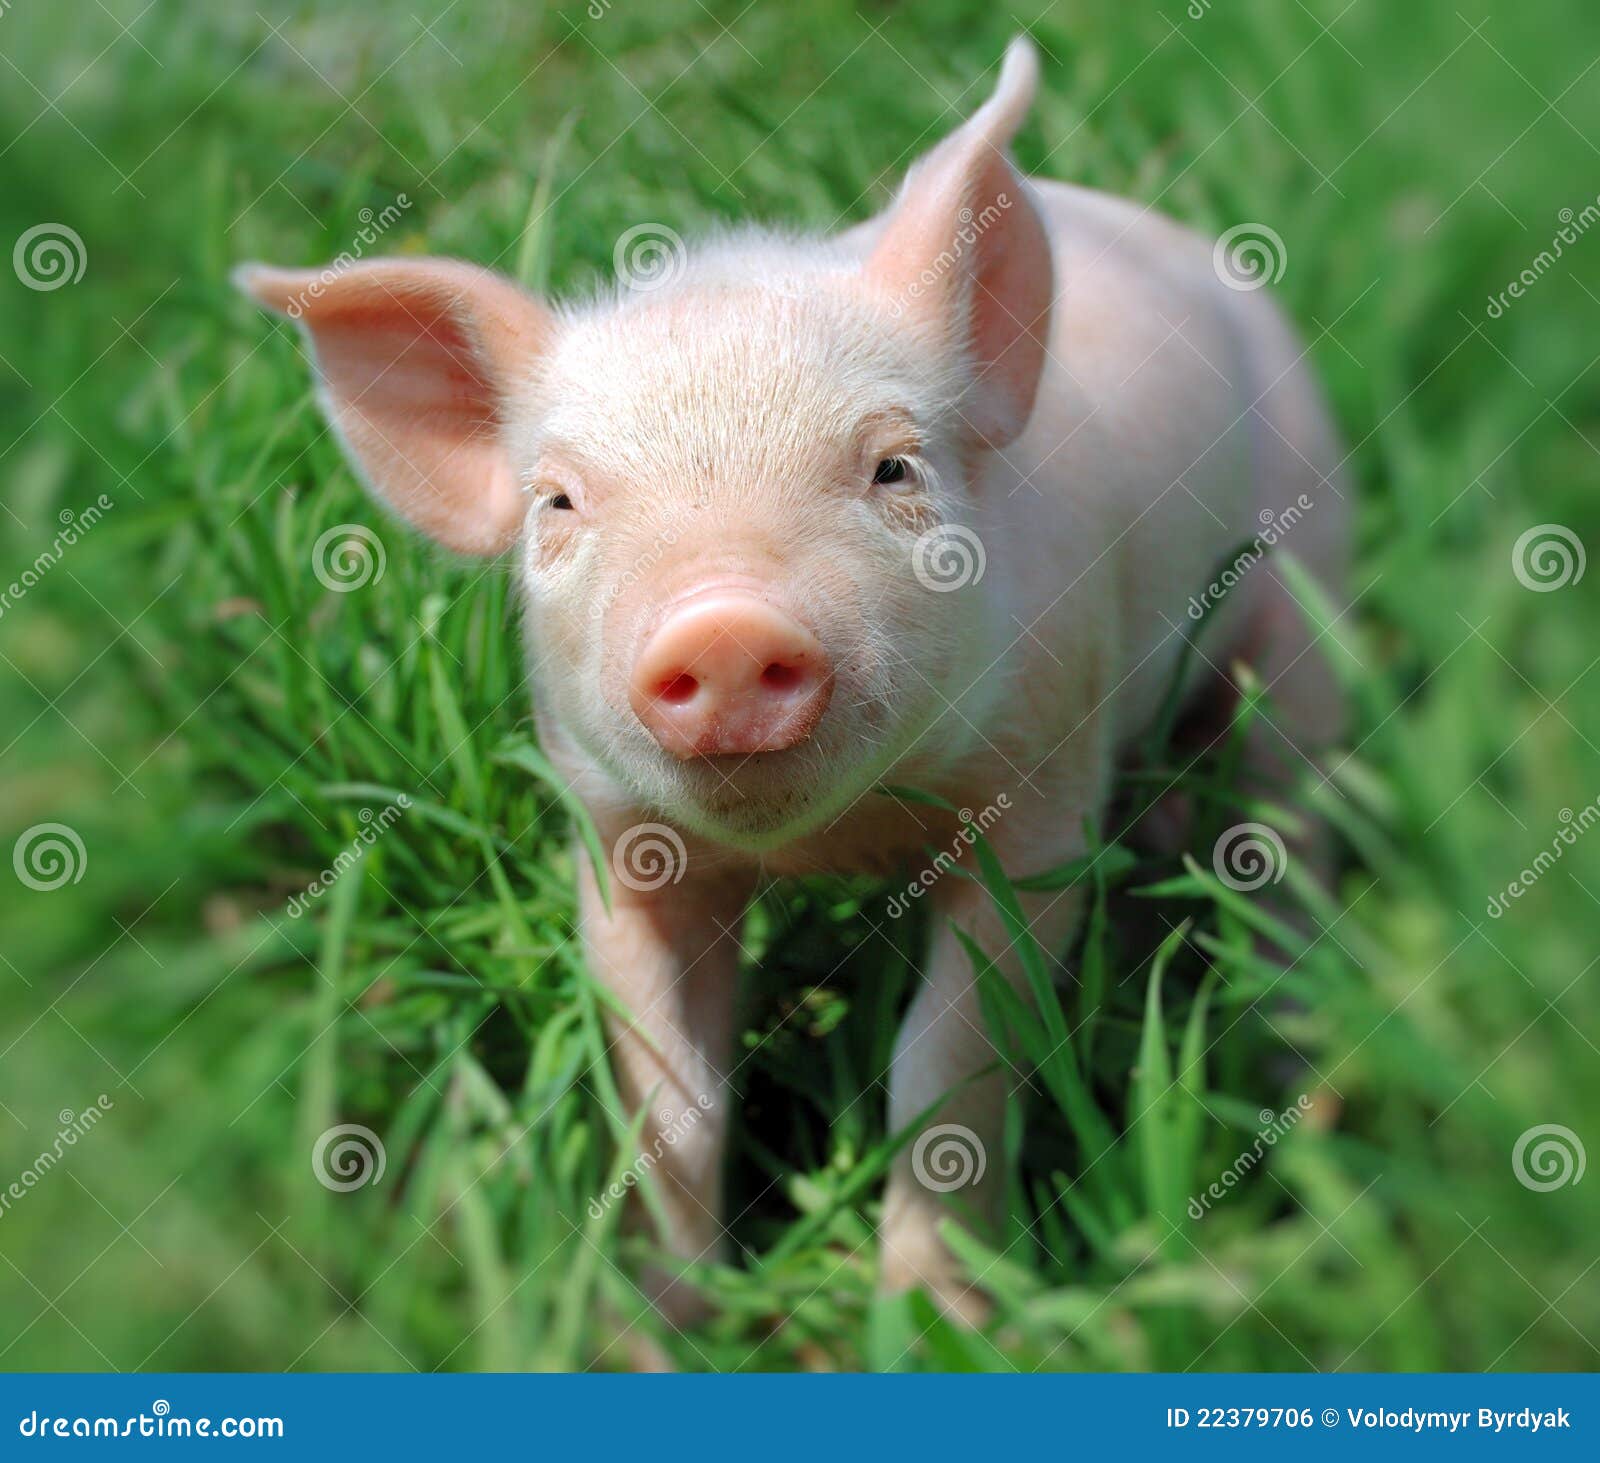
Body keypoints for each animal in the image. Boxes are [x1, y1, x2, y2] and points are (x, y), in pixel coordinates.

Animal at [235, 35, 1345, 1333]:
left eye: (894, 468)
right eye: (558, 502)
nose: (720, 622)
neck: (831, 844)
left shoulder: (1042, 787)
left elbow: (943, 1068)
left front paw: (931, 1327)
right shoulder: (613, 833)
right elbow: (667, 1093)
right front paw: (660, 1324)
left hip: (1312, 575)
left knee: (1287, 818)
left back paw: (1295, 1050)